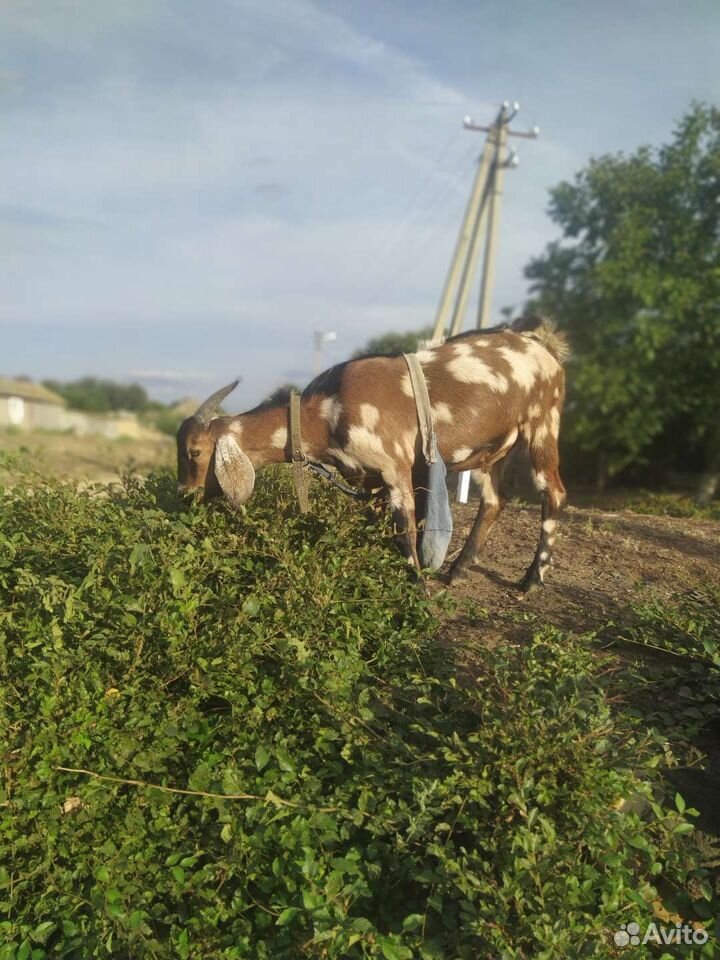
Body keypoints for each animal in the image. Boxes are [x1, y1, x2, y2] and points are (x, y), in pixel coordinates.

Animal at [177, 316, 569, 591]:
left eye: (194, 452)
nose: (185, 494)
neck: (325, 412)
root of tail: (545, 347)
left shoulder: (395, 466)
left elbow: (405, 529)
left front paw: (416, 588)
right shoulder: (367, 479)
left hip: (542, 423)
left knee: (553, 491)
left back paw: (532, 580)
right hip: (494, 450)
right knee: (494, 501)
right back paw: (457, 572)